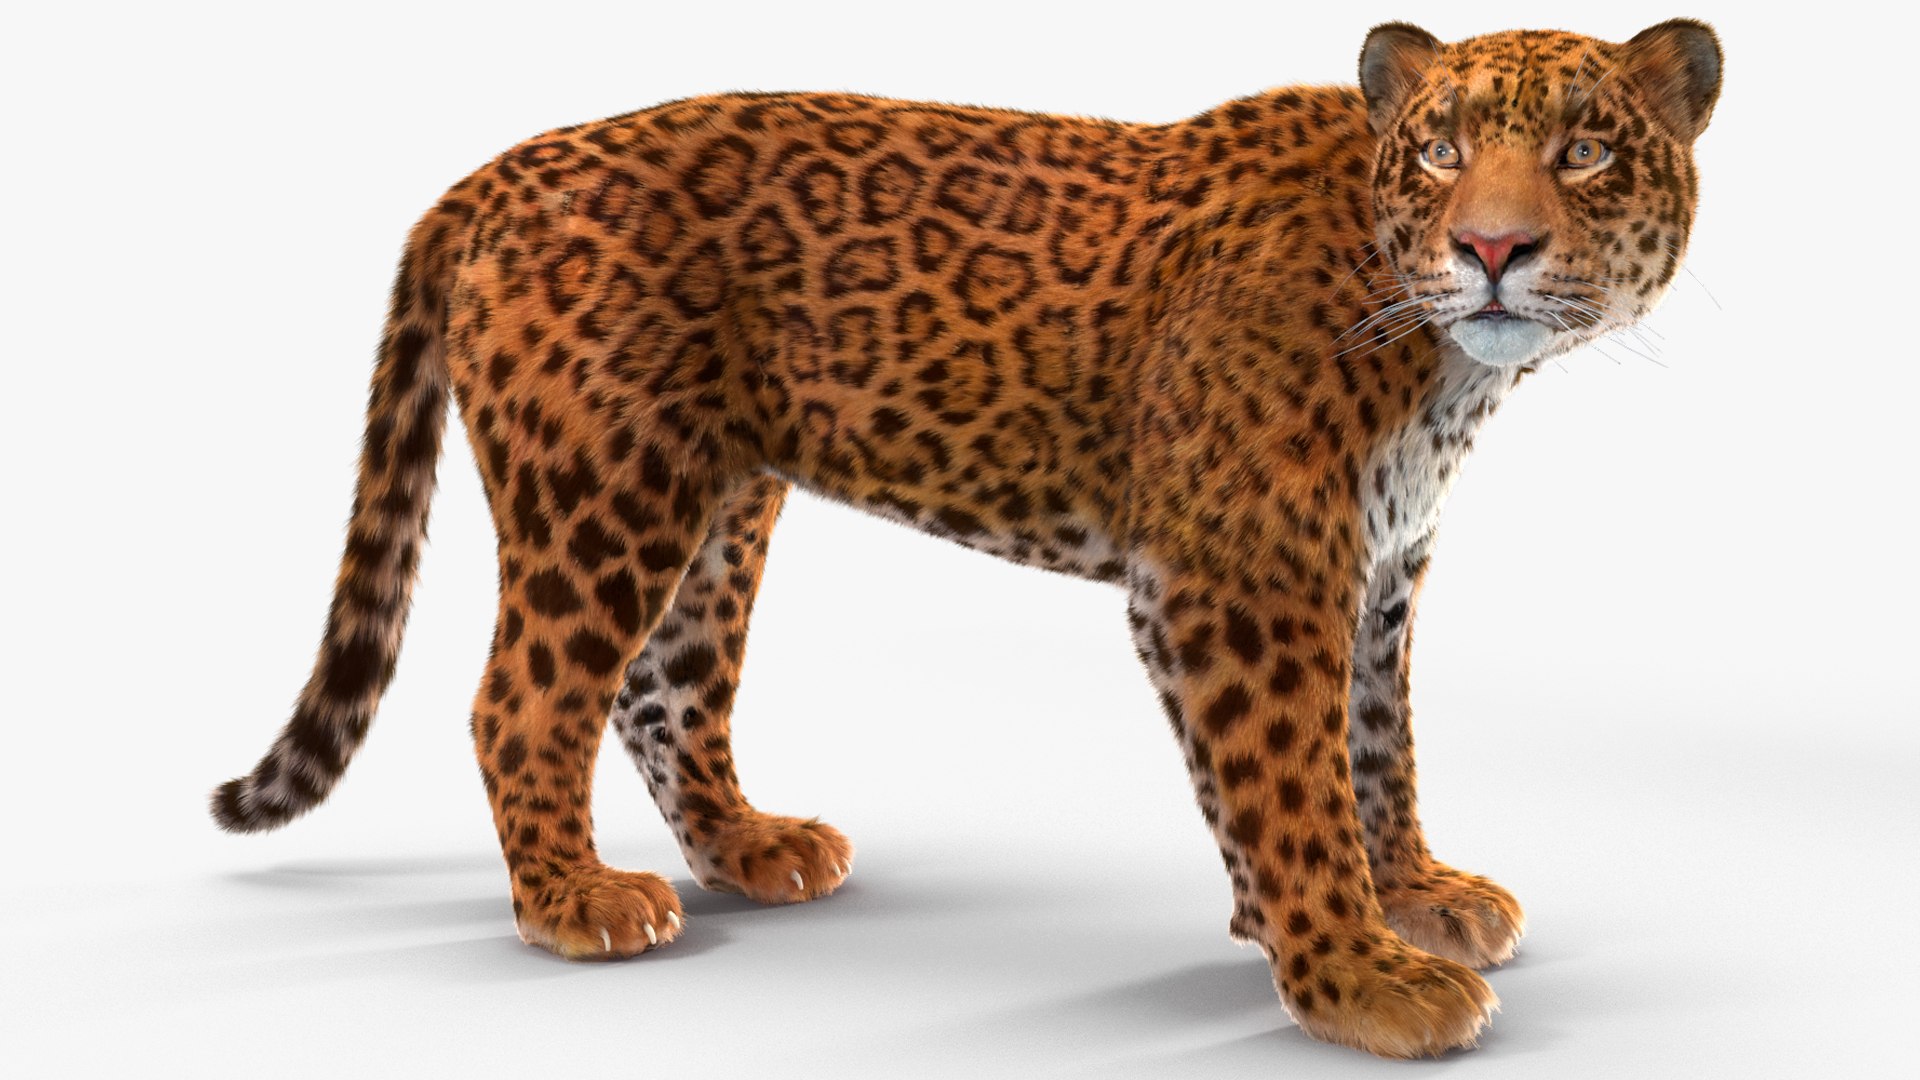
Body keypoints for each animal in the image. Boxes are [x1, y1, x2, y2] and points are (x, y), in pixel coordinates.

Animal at [210, 19, 1722, 1058]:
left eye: (1586, 148)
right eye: (1444, 149)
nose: (1494, 251)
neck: (1438, 363)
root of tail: (488, 176)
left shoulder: (1377, 566)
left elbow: (1376, 745)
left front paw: (1409, 895)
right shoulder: (1237, 575)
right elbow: (1288, 781)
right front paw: (1356, 975)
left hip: (719, 501)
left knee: (664, 690)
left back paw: (752, 849)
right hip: (605, 488)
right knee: (521, 698)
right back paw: (577, 902)